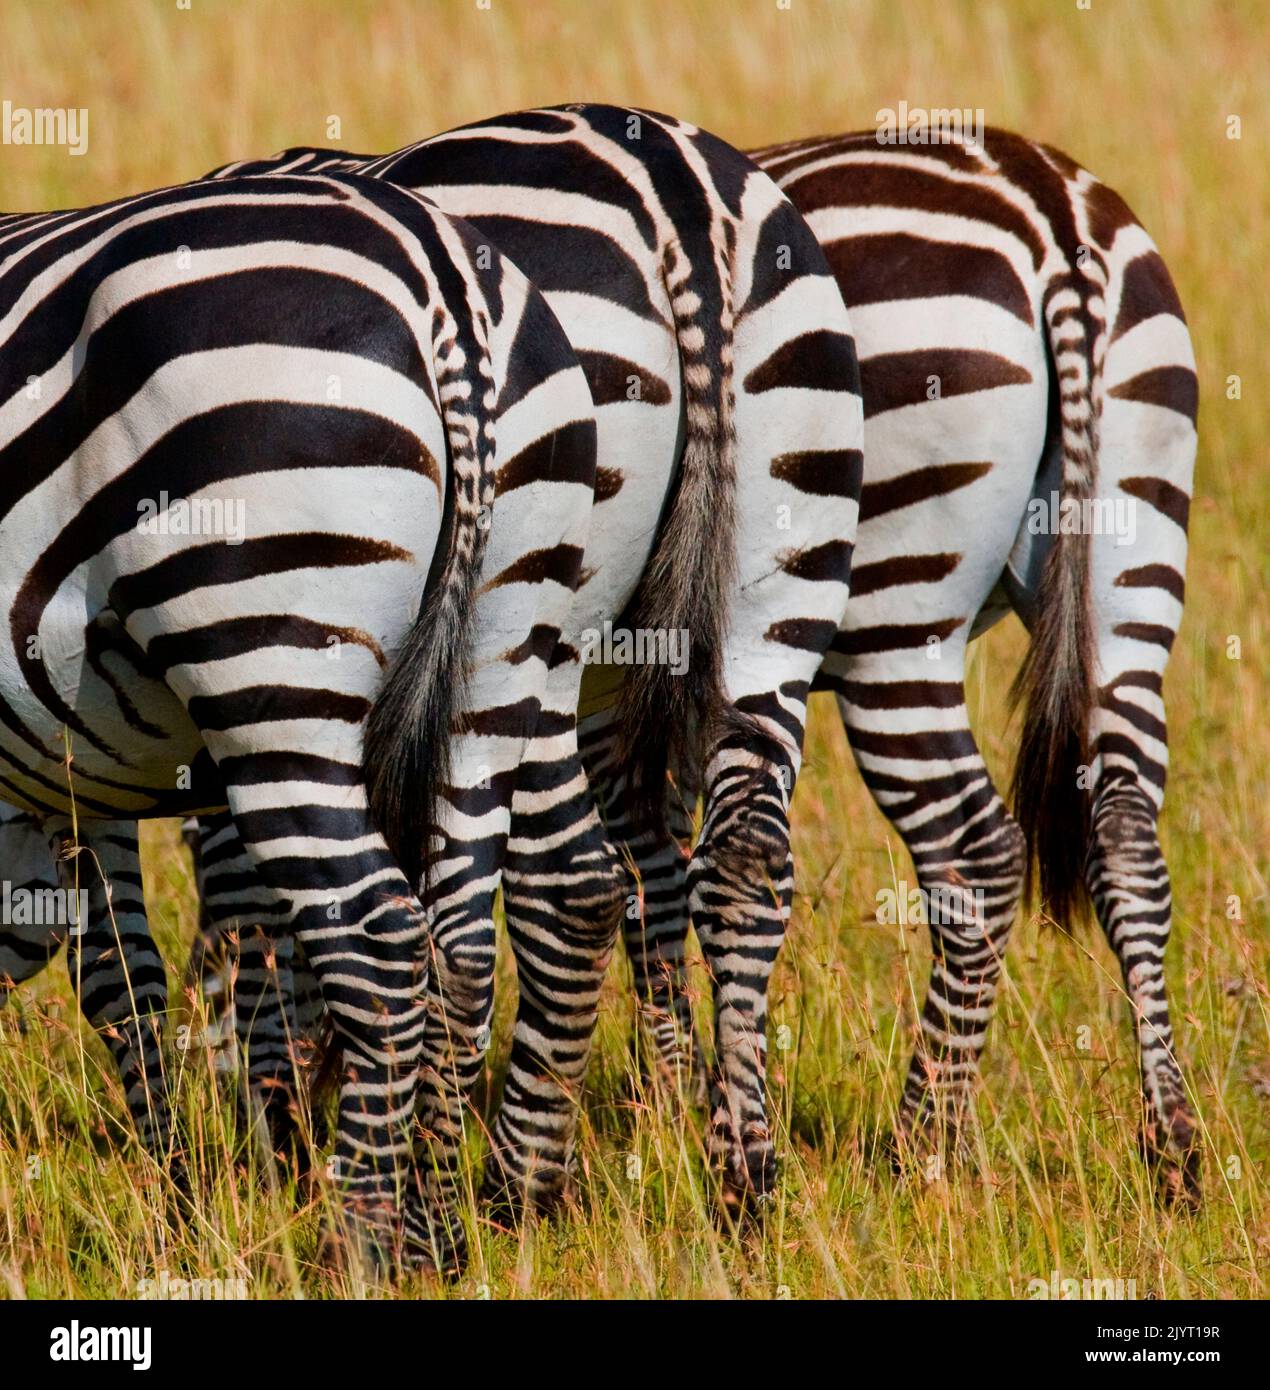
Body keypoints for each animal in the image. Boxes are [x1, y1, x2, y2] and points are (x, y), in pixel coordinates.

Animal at [0, 167, 604, 1266]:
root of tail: (437, 274)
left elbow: (112, 975)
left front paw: (180, 1194)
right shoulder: (76, 761)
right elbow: (119, 970)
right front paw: (184, 1192)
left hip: (268, 649)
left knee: (380, 942)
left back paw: (361, 1242)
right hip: (506, 644)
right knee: (465, 937)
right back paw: (437, 1230)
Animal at [208, 103, 865, 1216]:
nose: (278, 1133)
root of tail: (676, 195)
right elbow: (655, 870)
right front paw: (666, 1097)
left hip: (535, 623)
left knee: (572, 883)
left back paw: (514, 1183)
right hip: (780, 570)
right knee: (739, 853)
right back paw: (742, 1171)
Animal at [594, 125, 1201, 1199]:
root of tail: (1048, 213)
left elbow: (628, 861)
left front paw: (670, 1106)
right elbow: (653, 855)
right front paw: (679, 1096)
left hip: (894, 616)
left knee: (976, 855)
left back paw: (922, 1146)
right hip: (1134, 560)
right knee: (1127, 833)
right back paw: (1168, 1148)